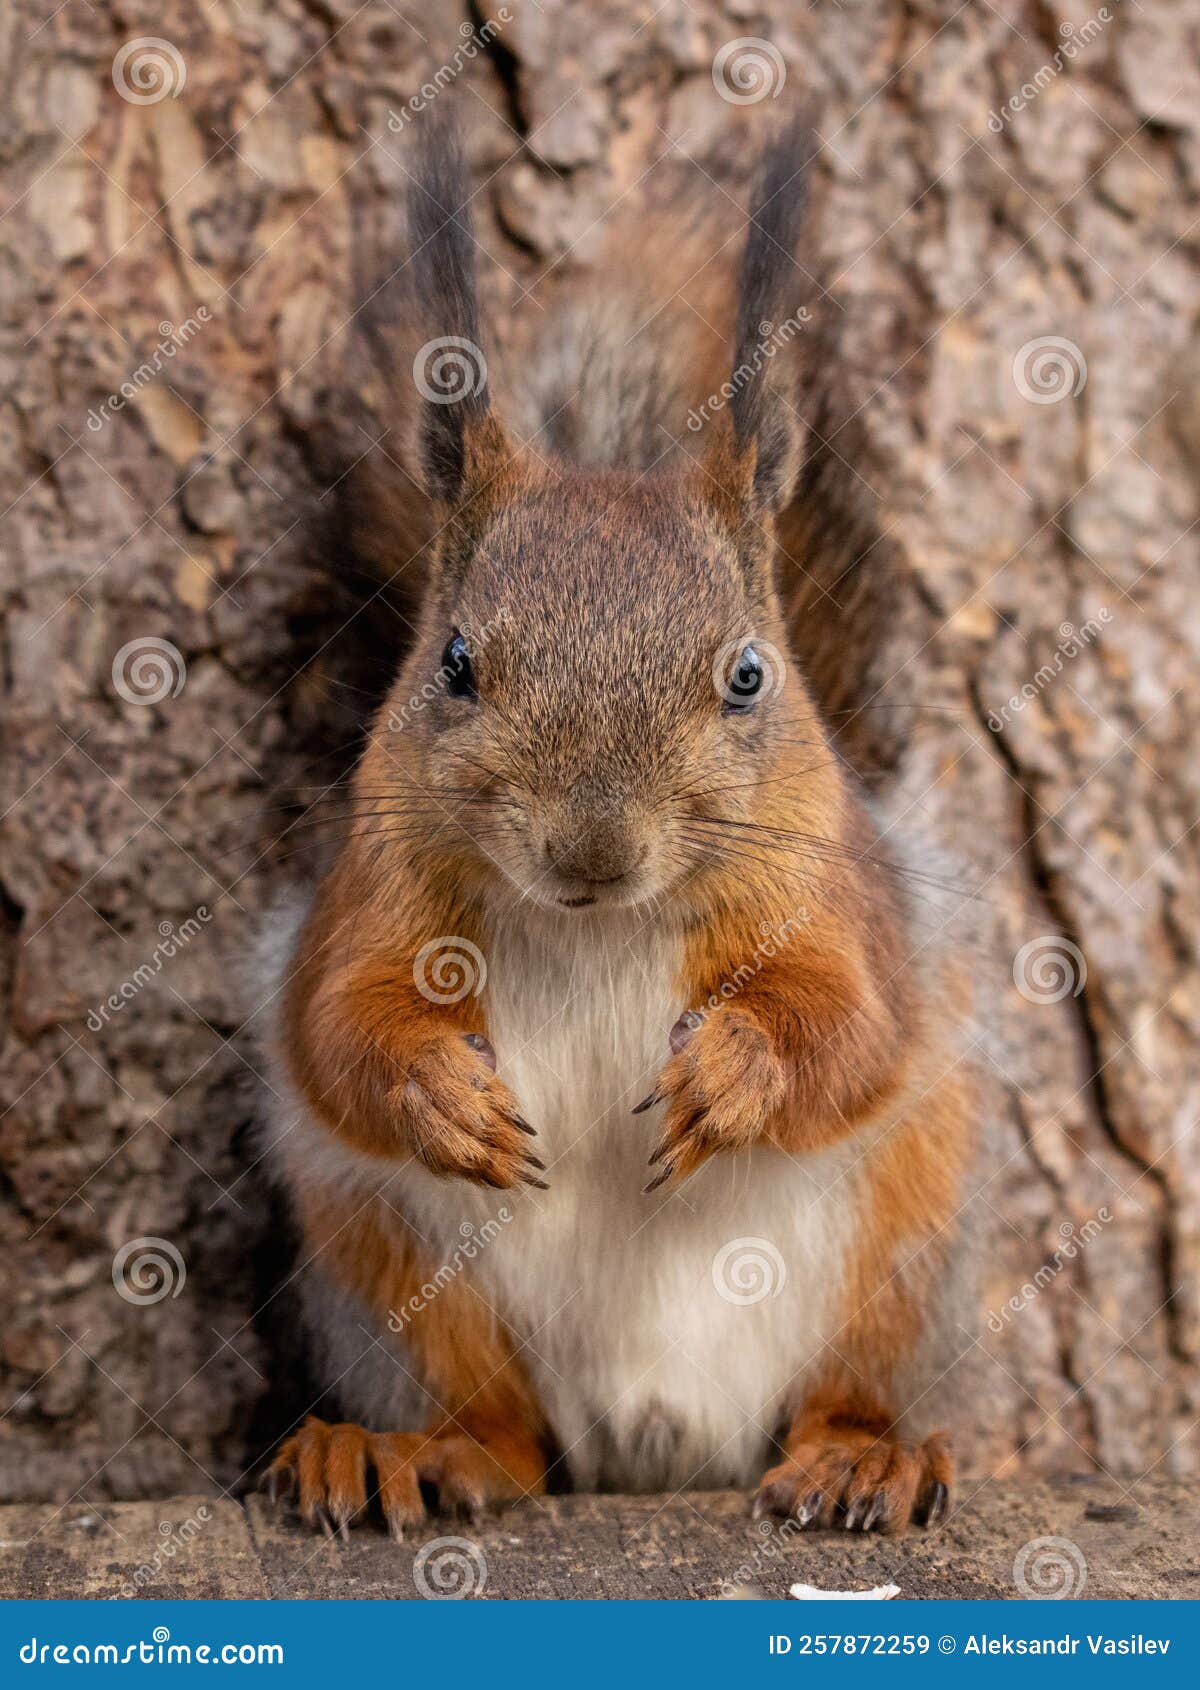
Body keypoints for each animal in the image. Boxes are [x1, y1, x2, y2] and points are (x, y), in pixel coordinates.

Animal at [255, 114, 977, 1540]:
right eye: (455, 663)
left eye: (749, 675)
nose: (591, 852)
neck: (597, 926)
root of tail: (659, 1440)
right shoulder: (370, 890)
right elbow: (332, 1023)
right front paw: (439, 1093)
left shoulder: (842, 901)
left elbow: (853, 1025)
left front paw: (736, 1071)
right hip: (388, 1264)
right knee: (498, 1433)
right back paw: (406, 1452)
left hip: (901, 1250)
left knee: (847, 1390)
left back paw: (865, 1458)